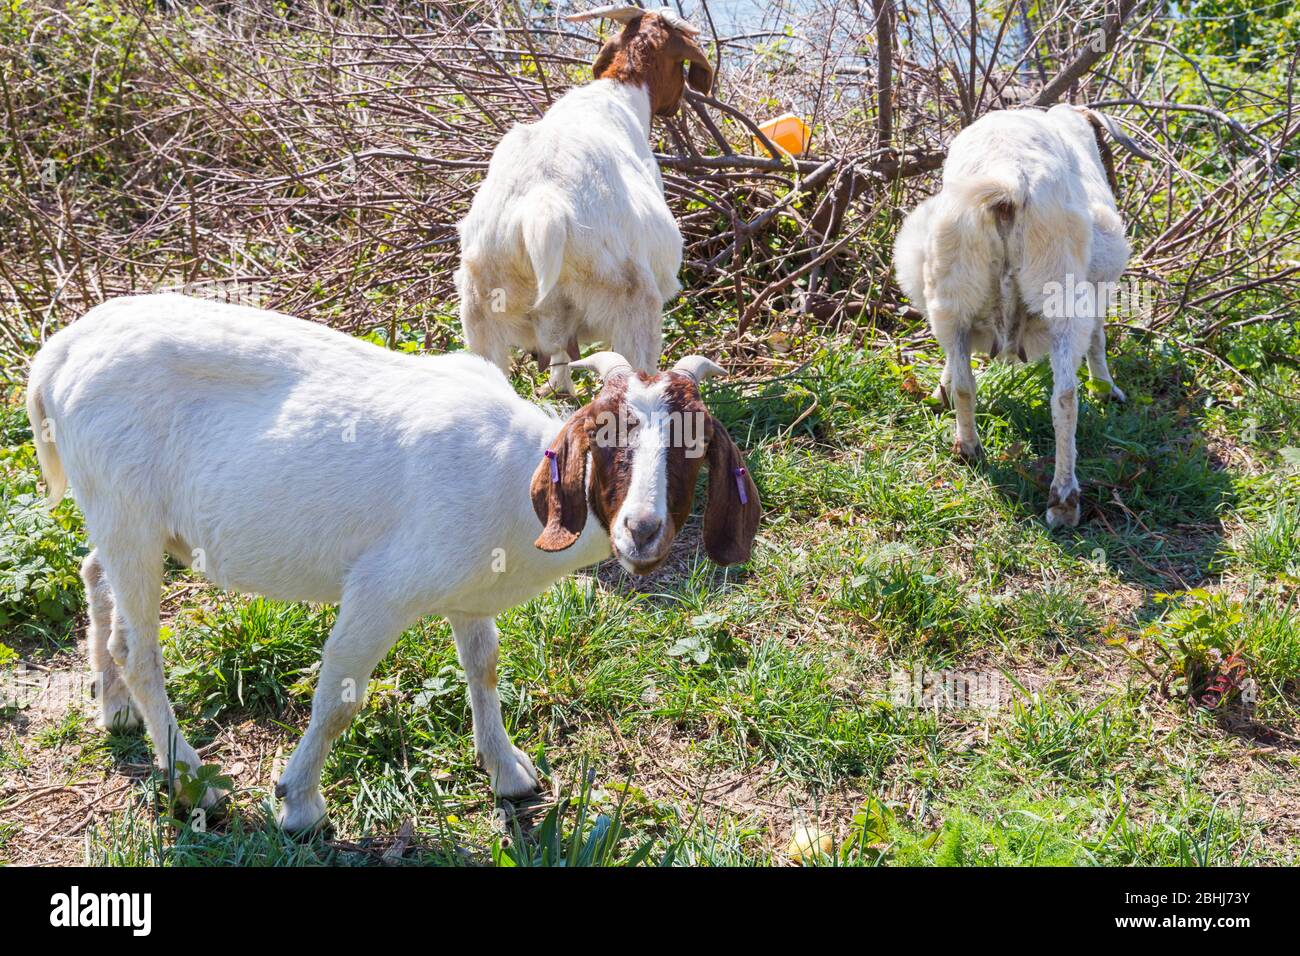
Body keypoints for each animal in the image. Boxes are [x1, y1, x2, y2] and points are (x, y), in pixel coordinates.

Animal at [25, 293, 760, 831]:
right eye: (604, 436)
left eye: (694, 445)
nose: (643, 529)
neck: (509, 481)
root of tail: (58, 355)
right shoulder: (382, 589)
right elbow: (340, 694)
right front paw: (298, 802)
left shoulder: (469, 591)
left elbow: (483, 665)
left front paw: (508, 772)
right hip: (127, 512)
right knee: (136, 648)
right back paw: (193, 782)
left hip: (123, 517)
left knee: (93, 574)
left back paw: (114, 709)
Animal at [894, 104, 1151, 527]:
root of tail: (1007, 182)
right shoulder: (1096, 286)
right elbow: (1098, 339)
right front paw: (1107, 389)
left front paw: (938, 393)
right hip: (1061, 289)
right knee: (1065, 398)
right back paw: (1064, 500)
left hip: (951, 290)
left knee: (968, 381)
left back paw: (970, 449)